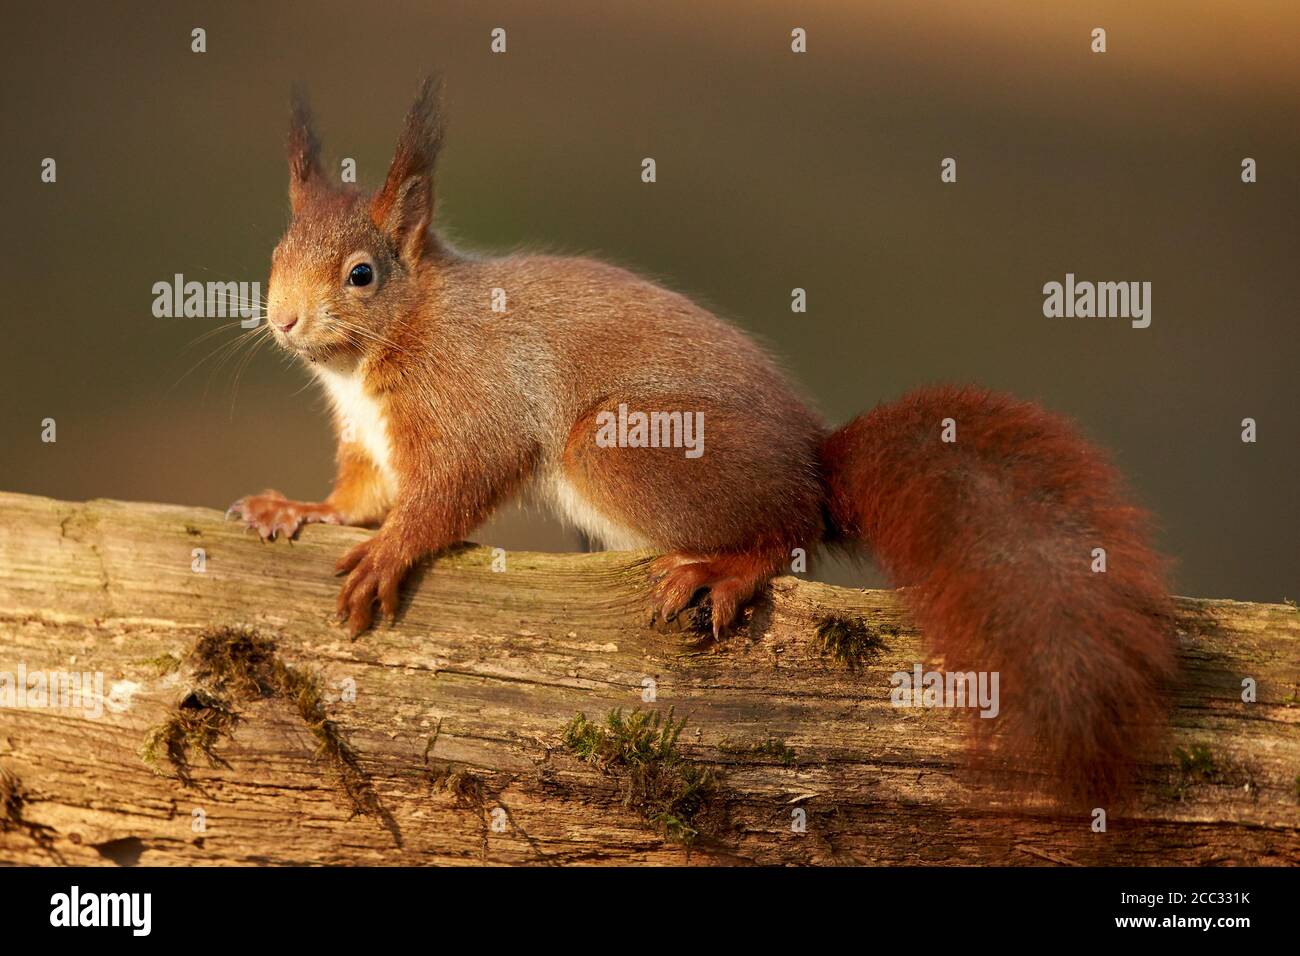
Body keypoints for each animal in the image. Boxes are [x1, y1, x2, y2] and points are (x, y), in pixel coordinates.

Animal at [229, 78, 1177, 805]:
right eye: (275, 252)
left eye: (362, 274)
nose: (281, 320)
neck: (372, 358)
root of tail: (816, 464)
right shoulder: (369, 442)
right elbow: (359, 497)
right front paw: (293, 508)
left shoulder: (471, 404)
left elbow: (449, 492)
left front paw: (390, 553)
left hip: (618, 448)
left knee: (790, 530)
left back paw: (726, 566)